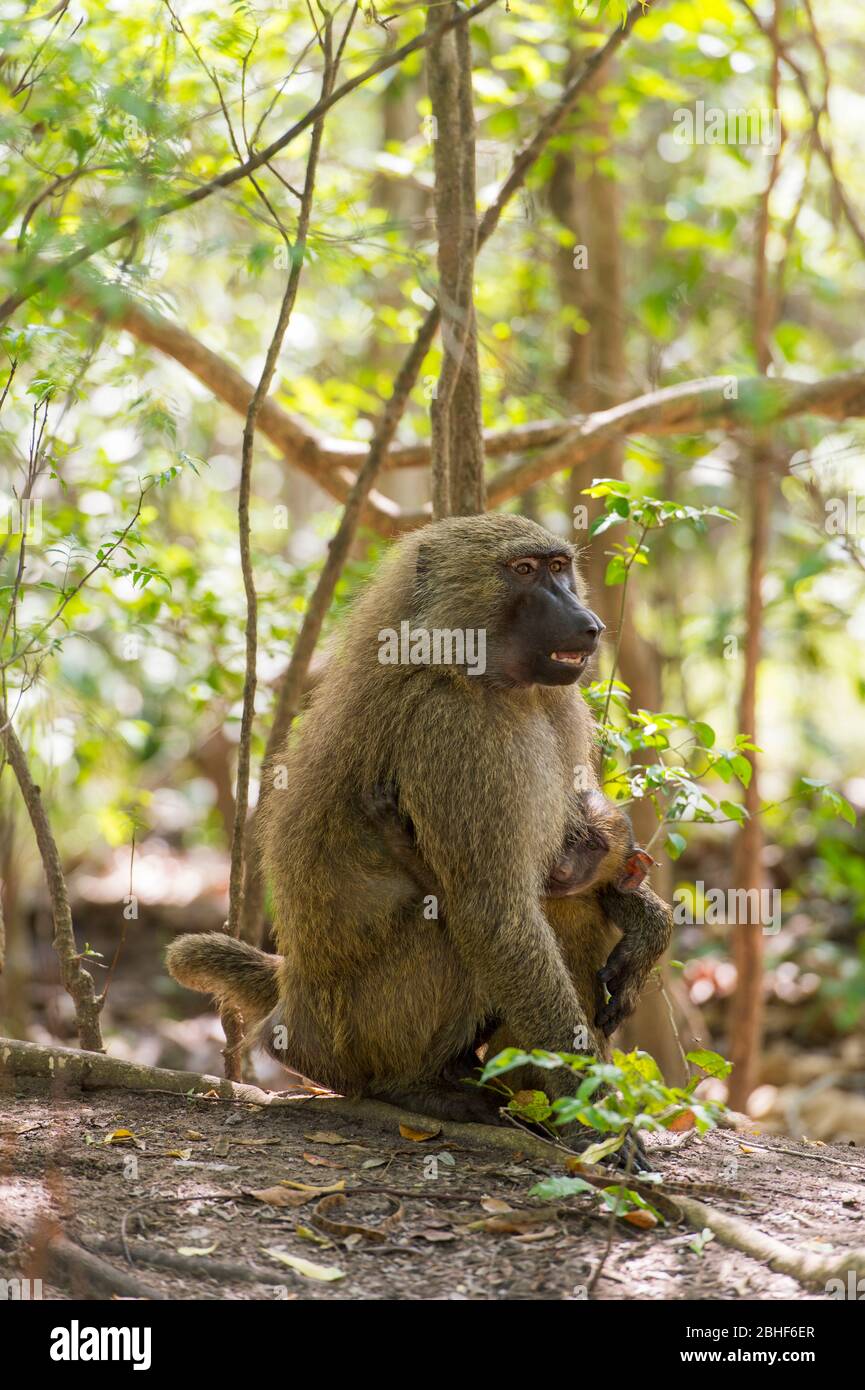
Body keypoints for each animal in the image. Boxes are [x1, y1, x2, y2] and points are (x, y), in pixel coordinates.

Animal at [166, 513, 672, 1160]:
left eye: (560, 567)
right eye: (524, 570)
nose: (589, 625)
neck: (472, 674)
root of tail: (293, 993)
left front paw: (646, 926)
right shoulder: (452, 730)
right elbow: (492, 913)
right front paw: (596, 1118)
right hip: (353, 1028)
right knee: (459, 921)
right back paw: (412, 1086)